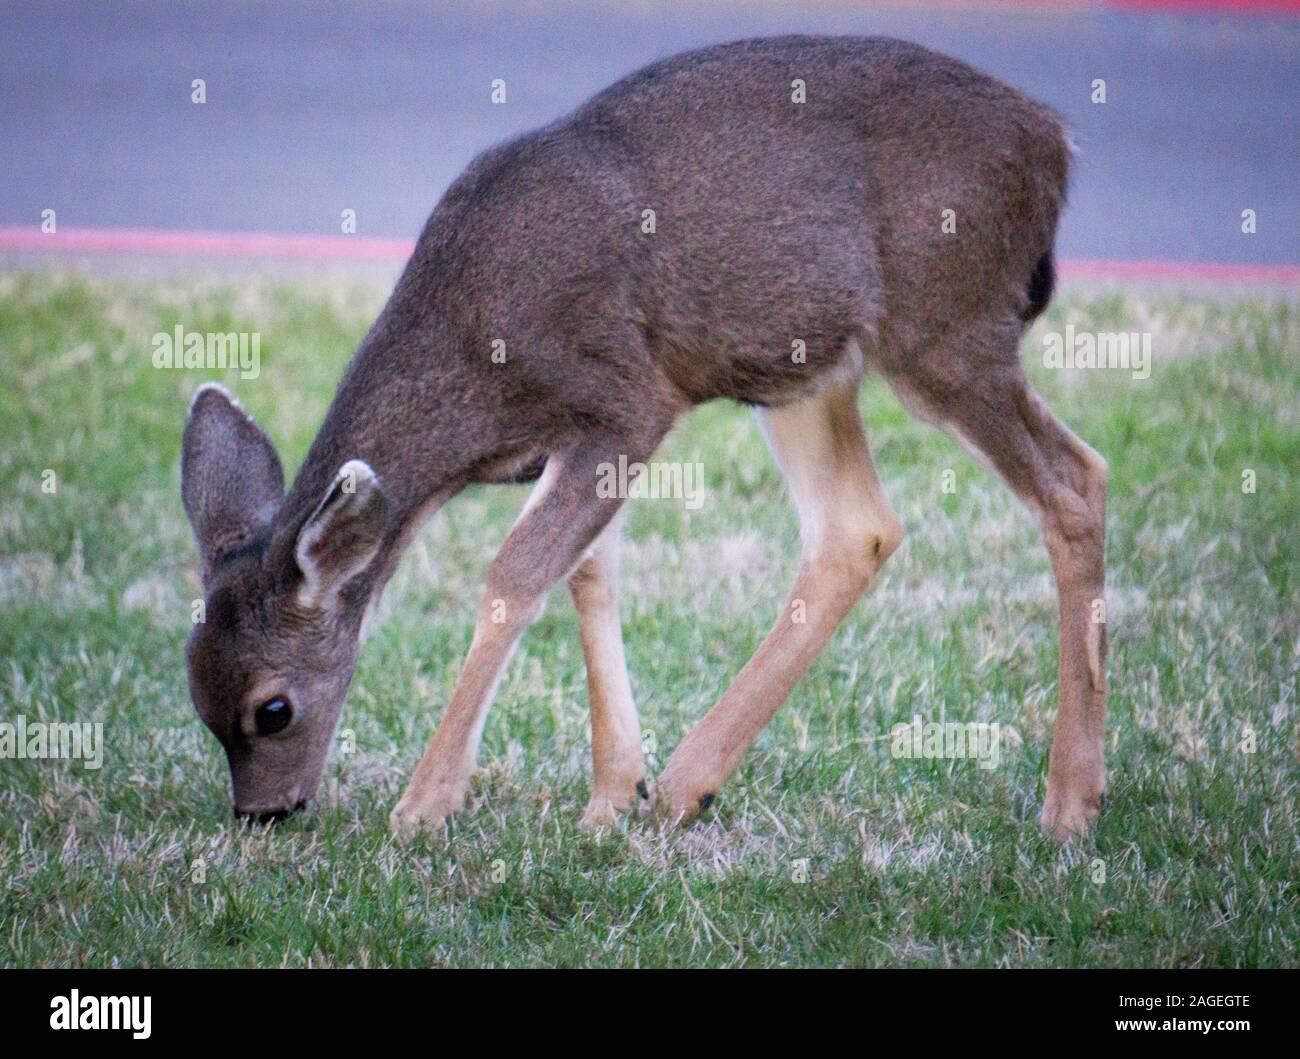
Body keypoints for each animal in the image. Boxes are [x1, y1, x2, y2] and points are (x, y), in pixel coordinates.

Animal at [180, 35, 1107, 842]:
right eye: (196, 696)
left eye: (272, 708)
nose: (263, 813)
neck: (475, 363)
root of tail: (1056, 143)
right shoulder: (585, 437)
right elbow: (589, 571)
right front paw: (610, 793)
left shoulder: (624, 397)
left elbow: (516, 572)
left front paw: (425, 804)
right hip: (803, 364)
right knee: (858, 528)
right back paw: (689, 782)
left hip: (945, 322)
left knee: (1076, 479)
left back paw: (1070, 803)